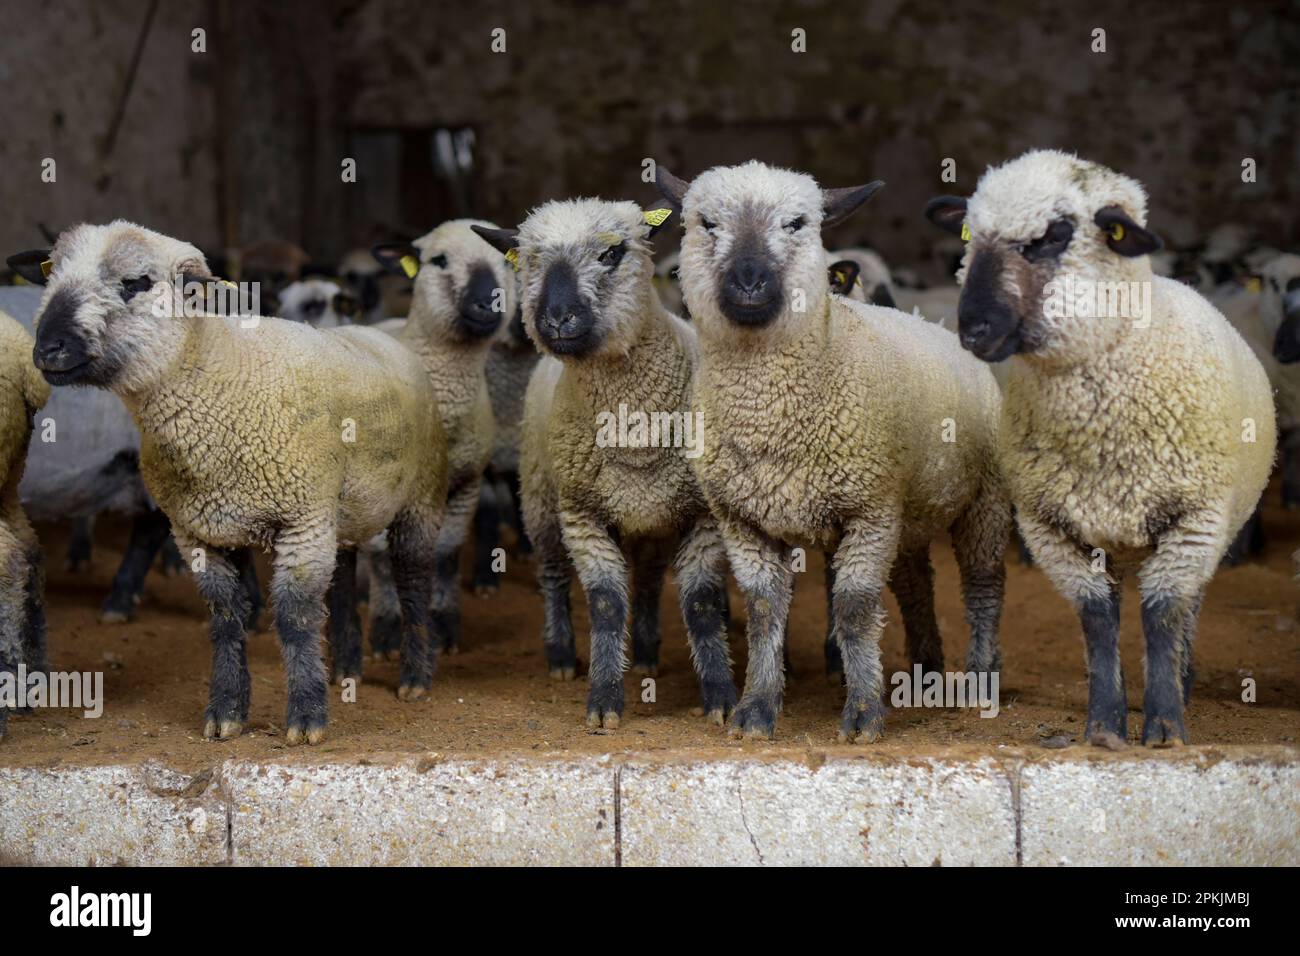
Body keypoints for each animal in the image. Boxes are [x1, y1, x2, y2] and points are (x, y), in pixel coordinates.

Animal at [11, 221, 448, 744]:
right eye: (51, 274)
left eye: (136, 282)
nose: (47, 349)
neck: (218, 378)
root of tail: (376, 331)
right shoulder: (202, 530)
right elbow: (223, 617)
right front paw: (226, 713)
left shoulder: (301, 519)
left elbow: (295, 615)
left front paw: (306, 720)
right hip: (340, 510)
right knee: (342, 580)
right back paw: (346, 668)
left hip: (419, 496)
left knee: (413, 580)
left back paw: (416, 677)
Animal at [364, 219, 513, 656]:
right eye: (440, 260)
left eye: (505, 262)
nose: (488, 304)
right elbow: (381, 559)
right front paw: (385, 633)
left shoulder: (467, 481)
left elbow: (446, 554)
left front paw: (444, 627)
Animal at [472, 199, 739, 728]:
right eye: (528, 260)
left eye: (613, 253)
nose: (556, 317)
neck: (632, 434)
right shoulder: (583, 514)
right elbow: (605, 603)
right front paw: (604, 699)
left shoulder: (702, 514)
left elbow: (700, 603)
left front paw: (719, 695)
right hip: (541, 500)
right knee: (554, 575)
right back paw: (560, 654)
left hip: (653, 520)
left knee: (650, 579)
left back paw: (648, 652)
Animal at [656, 161, 1010, 742]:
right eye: (706, 223)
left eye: (797, 223)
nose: (748, 280)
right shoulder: (742, 519)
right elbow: (763, 608)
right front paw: (756, 708)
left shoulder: (870, 510)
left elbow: (855, 607)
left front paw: (863, 713)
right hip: (910, 512)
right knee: (915, 585)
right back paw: (926, 672)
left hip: (985, 500)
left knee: (983, 585)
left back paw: (980, 679)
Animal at [925, 149, 1274, 746]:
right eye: (970, 233)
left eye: (1055, 234)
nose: (973, 328)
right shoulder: (1052, 527)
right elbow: (1097, 619)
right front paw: (1106, 726)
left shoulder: (1193, 522)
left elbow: (1162, 614)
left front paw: (1164, 726)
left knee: (1188, 607)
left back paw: (1181, 679)